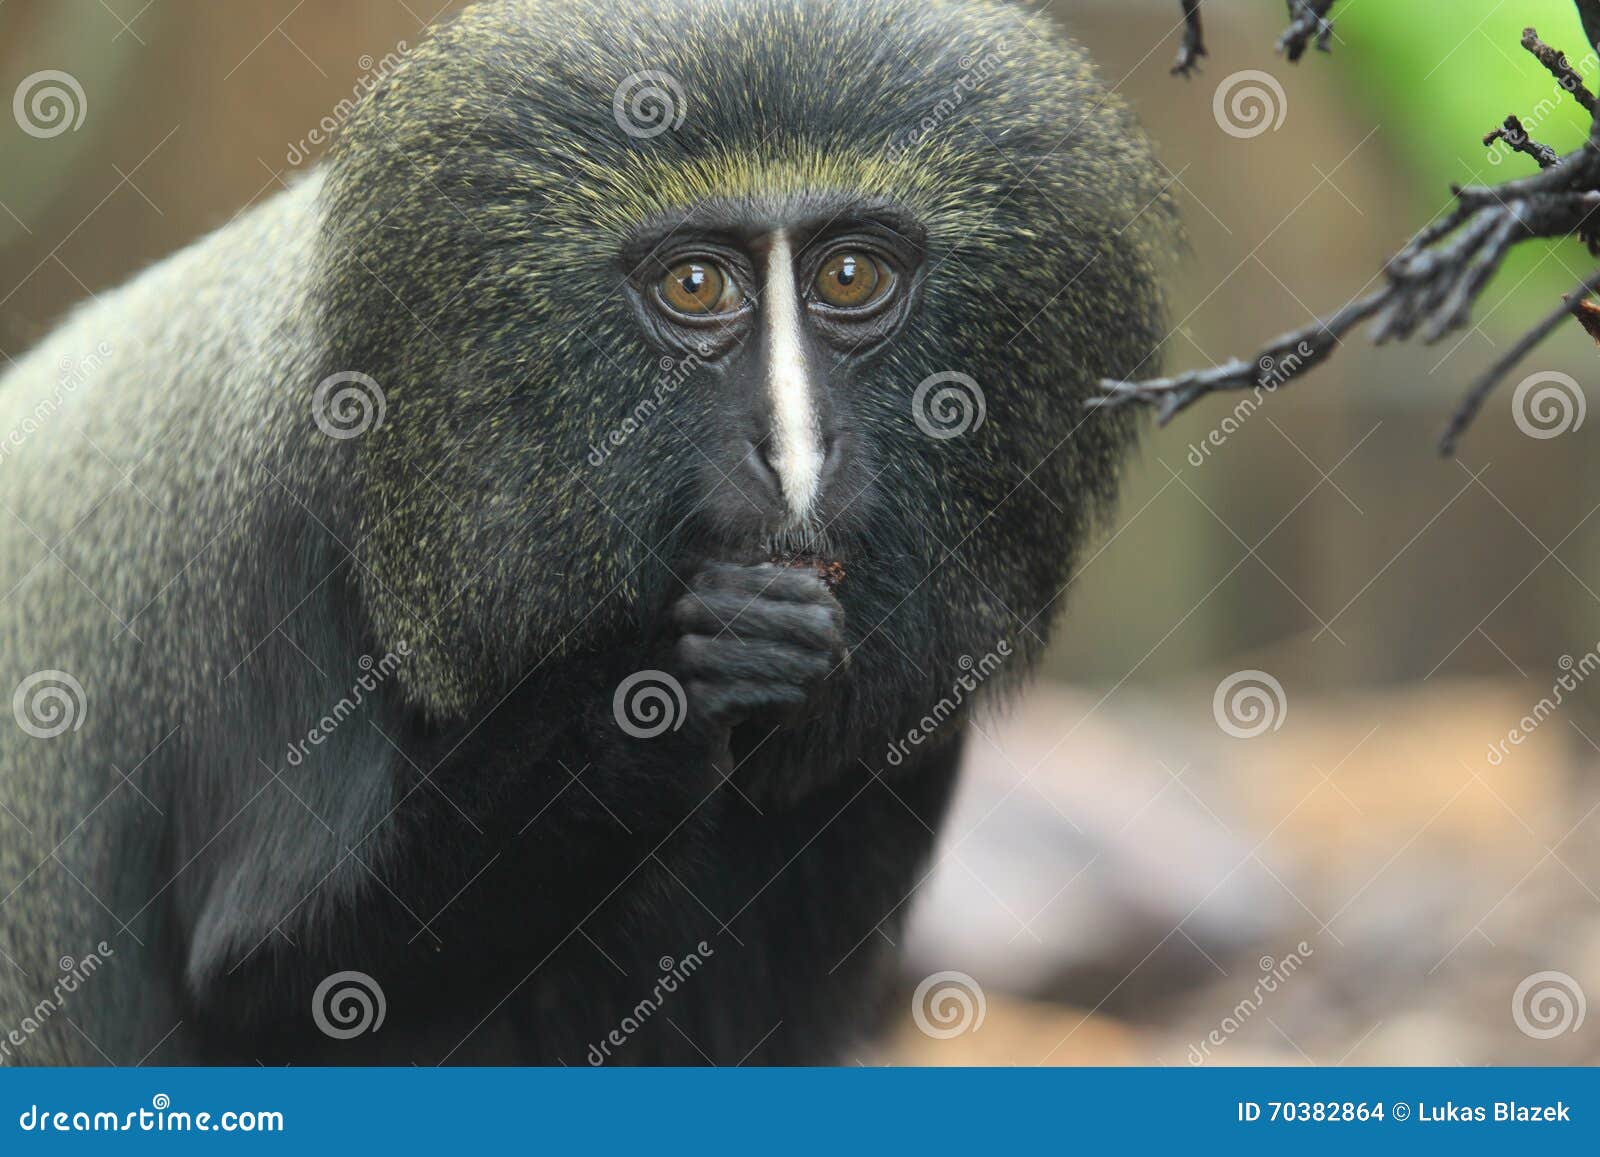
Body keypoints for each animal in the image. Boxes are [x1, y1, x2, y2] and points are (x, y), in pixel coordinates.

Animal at [0, 0, 1173, 1065]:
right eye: (695, 284)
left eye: (849, 276)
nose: (797, 450)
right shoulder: (287, 544)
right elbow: (274, 979)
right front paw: (662, 693)